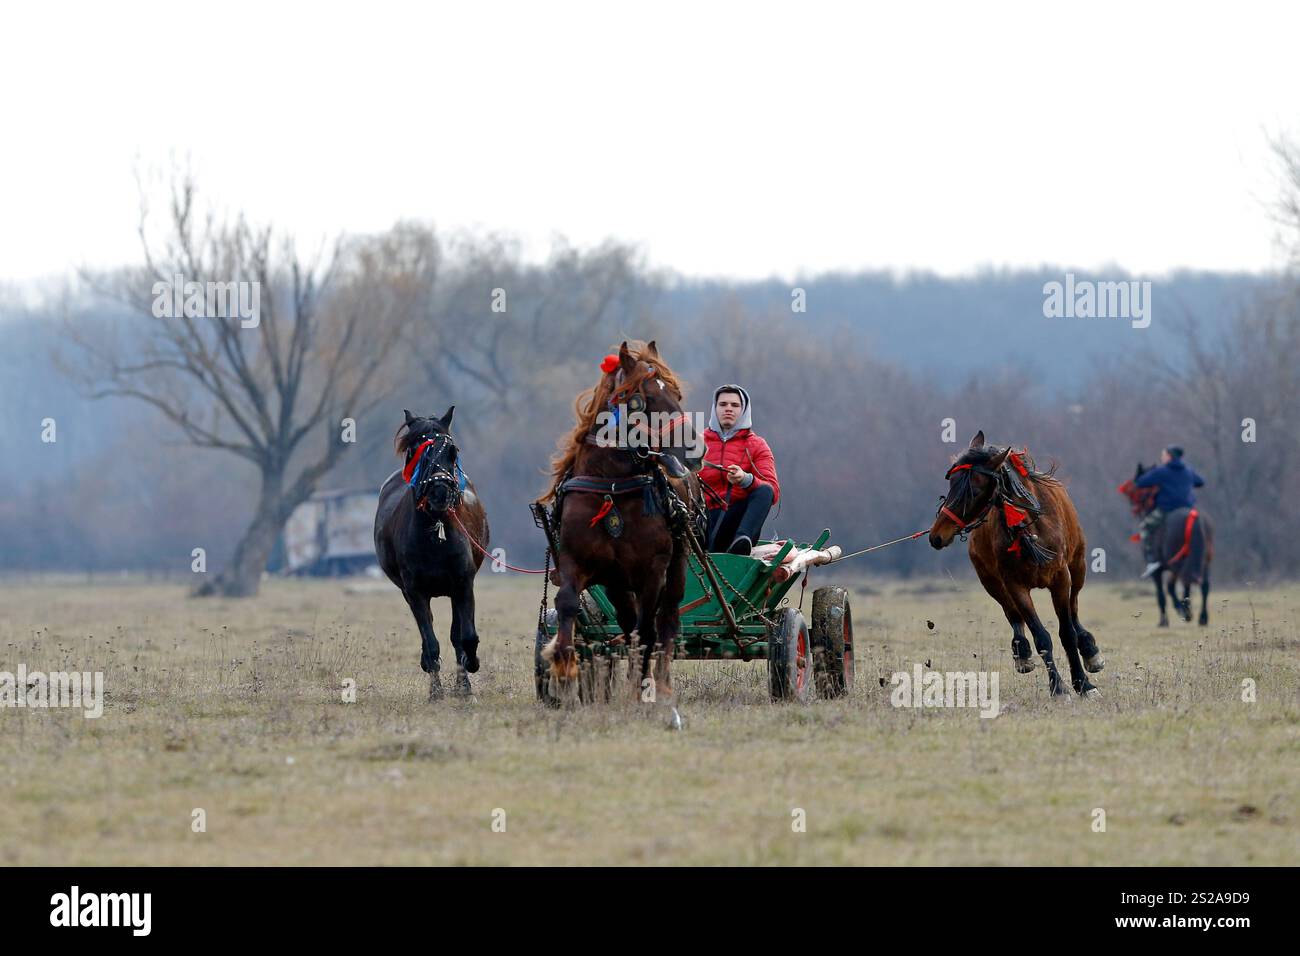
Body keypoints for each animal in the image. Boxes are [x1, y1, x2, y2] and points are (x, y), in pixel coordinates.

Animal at [374, 407, 489, 698]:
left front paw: (467, 678)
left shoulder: (463, 584)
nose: (439, 492)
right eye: (416, 450)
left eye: (453, 451)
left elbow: (465, 637)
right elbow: (431, 642)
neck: (435, 531)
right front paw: (436, 692)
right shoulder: (415, 591)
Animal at [535, 340, 701, 722]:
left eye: (677, 394)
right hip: (616, 584)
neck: (611, 487)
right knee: (628, 621)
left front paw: (643, 688)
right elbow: (567, 604)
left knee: (665, 620)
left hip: (677, 564)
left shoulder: (653, 571)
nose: (693, 449)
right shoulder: (575, 563)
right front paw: (563, 669)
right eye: (645, 398)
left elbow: (648, 629)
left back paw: (661, 685)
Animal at [928, 431, 1105, 698]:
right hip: (991, 581)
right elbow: (1040, 636)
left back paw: (1089, 649)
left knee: (1074, 606)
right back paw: (1021, 651)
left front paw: (1083, 684)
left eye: (974, 490)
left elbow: (1067, 632)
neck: (1030, 529)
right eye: (951, 484)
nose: (937, 535)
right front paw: (1058, 687)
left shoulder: (1060, 577)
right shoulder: (1014, 584)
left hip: (1078, 565)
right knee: (1011, 613)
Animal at [1118, 464, 1214, 626]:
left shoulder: (1158, 570)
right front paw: (1183, 610)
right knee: (1203, 585)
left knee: (1183, 582)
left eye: (1138, 486)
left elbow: (1162, 594)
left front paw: (1165, 620)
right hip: (1204, 561)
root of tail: (1193, 516)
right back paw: (1201, 617)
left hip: (1177, 561)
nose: (1134, 508)